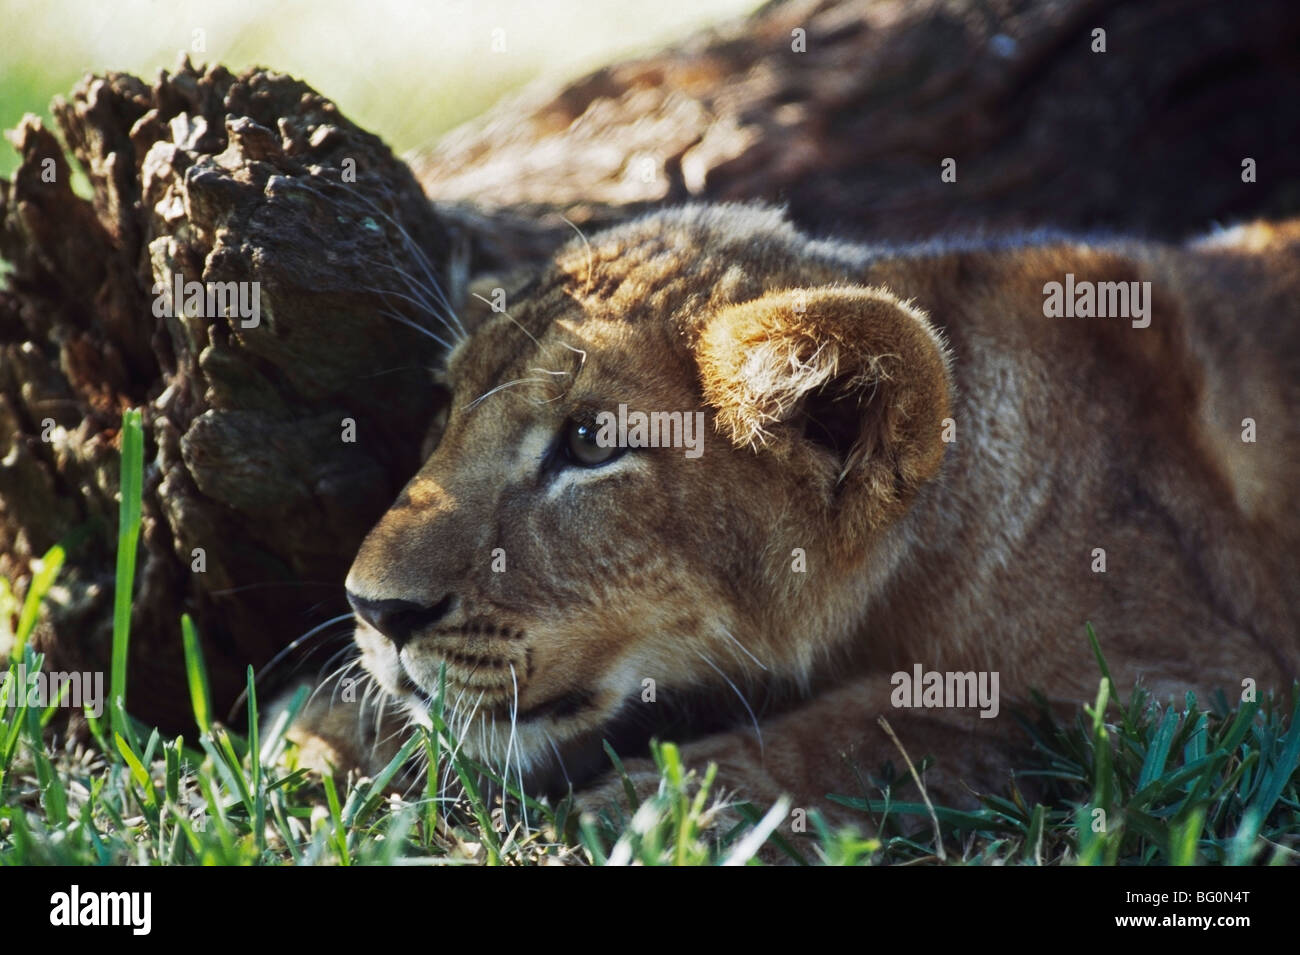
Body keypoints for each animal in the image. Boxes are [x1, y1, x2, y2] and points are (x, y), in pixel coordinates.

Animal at [296, 204, 1300, 828]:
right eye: (446, 407)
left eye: (587, 442)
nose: (374, 610)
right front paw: (319, 737)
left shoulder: (1195, 689)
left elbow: (886, 727)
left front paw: (657, 808)